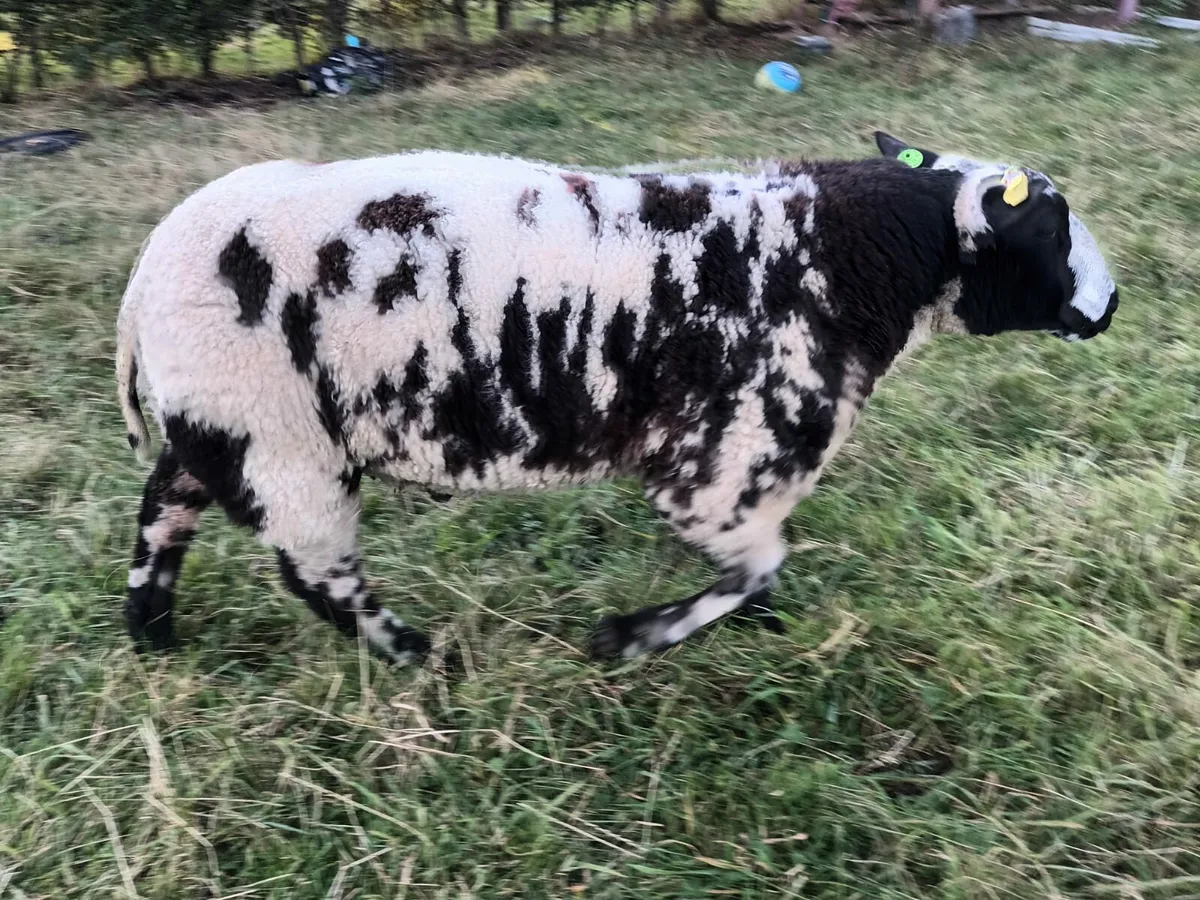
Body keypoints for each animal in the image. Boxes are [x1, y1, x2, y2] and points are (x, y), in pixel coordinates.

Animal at [114, 131, 1119, 664]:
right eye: (1050, 228)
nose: (1111, 306)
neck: (844, 256)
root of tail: (144, 282)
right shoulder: (720, 468)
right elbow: (757, 569)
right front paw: (632, 638)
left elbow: (758, 576)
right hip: (282, 443)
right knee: (315, 572)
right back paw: (417, 656)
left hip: (218, 427)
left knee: (163, 510)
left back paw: (153, 633)